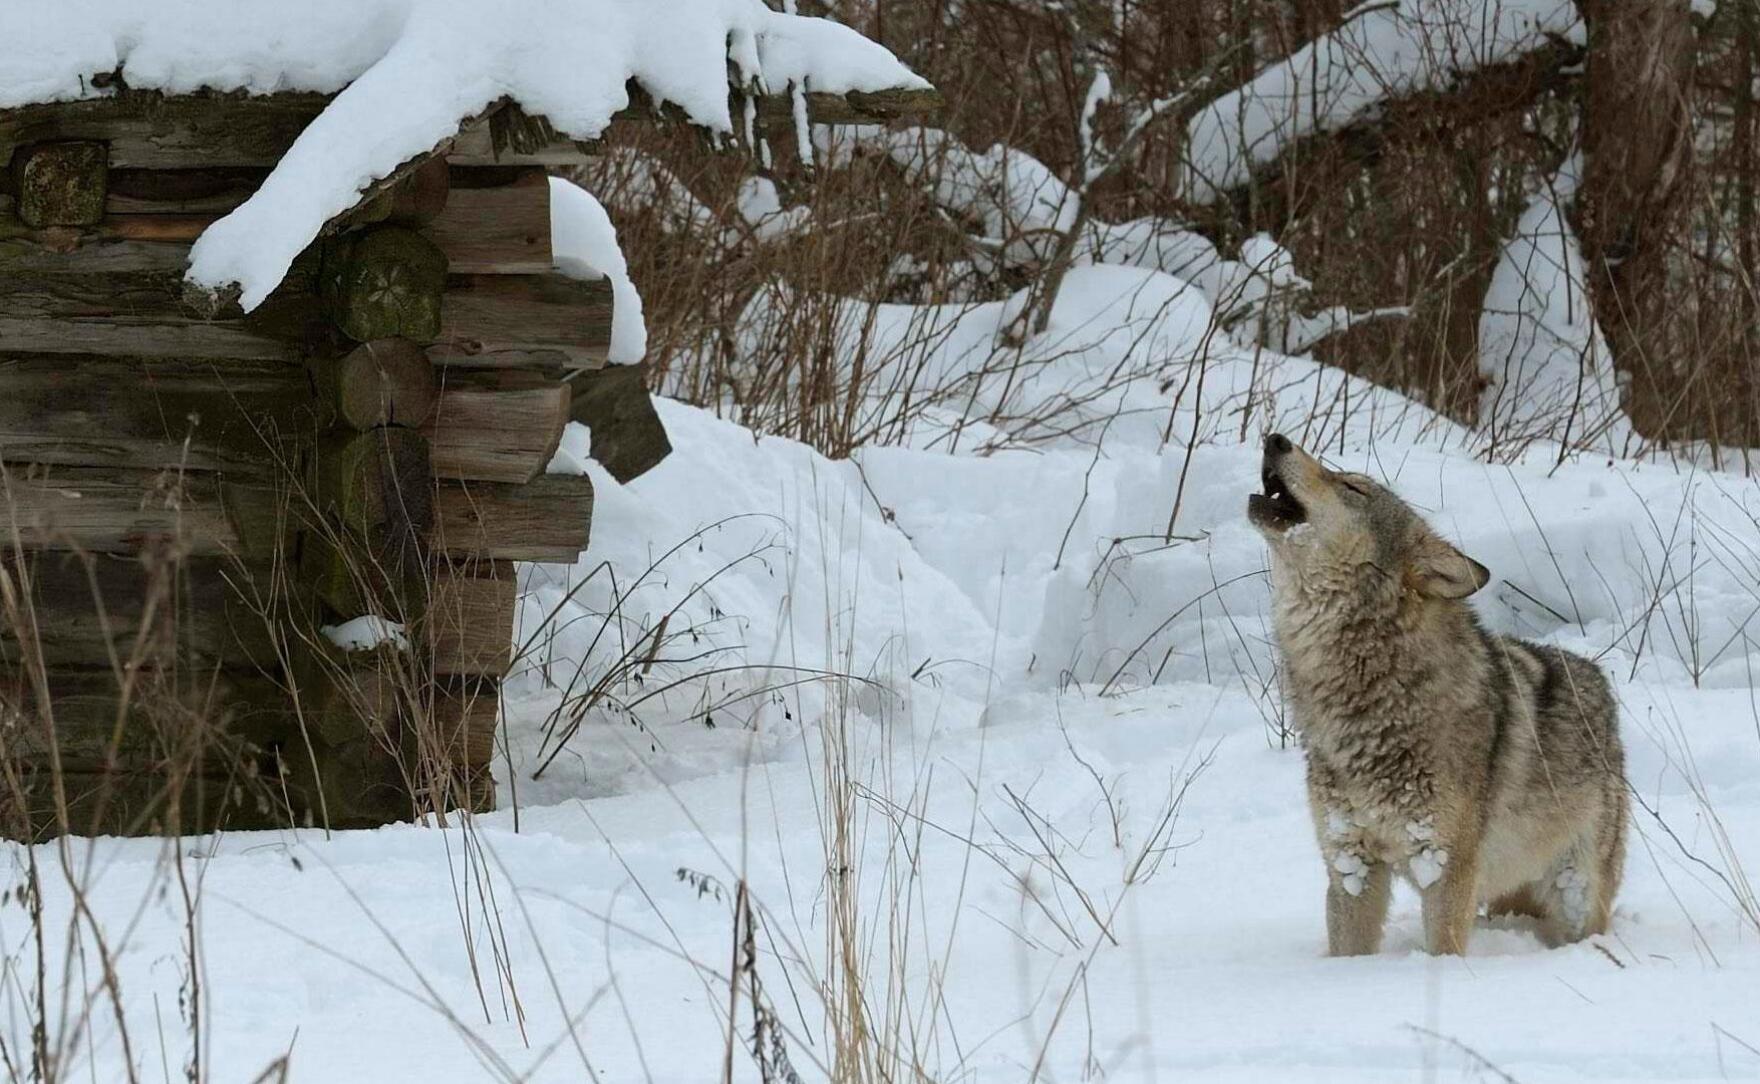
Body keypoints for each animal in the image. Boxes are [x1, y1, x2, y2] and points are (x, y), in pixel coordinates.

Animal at [1248, 433, 1627, 956]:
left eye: (1352, 487)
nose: (1275, 438)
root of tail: (1598, 679)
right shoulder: (1350, 863)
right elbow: (1348, 950)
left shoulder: (1445, 866)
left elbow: (1444, 950)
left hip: (1577, 889)